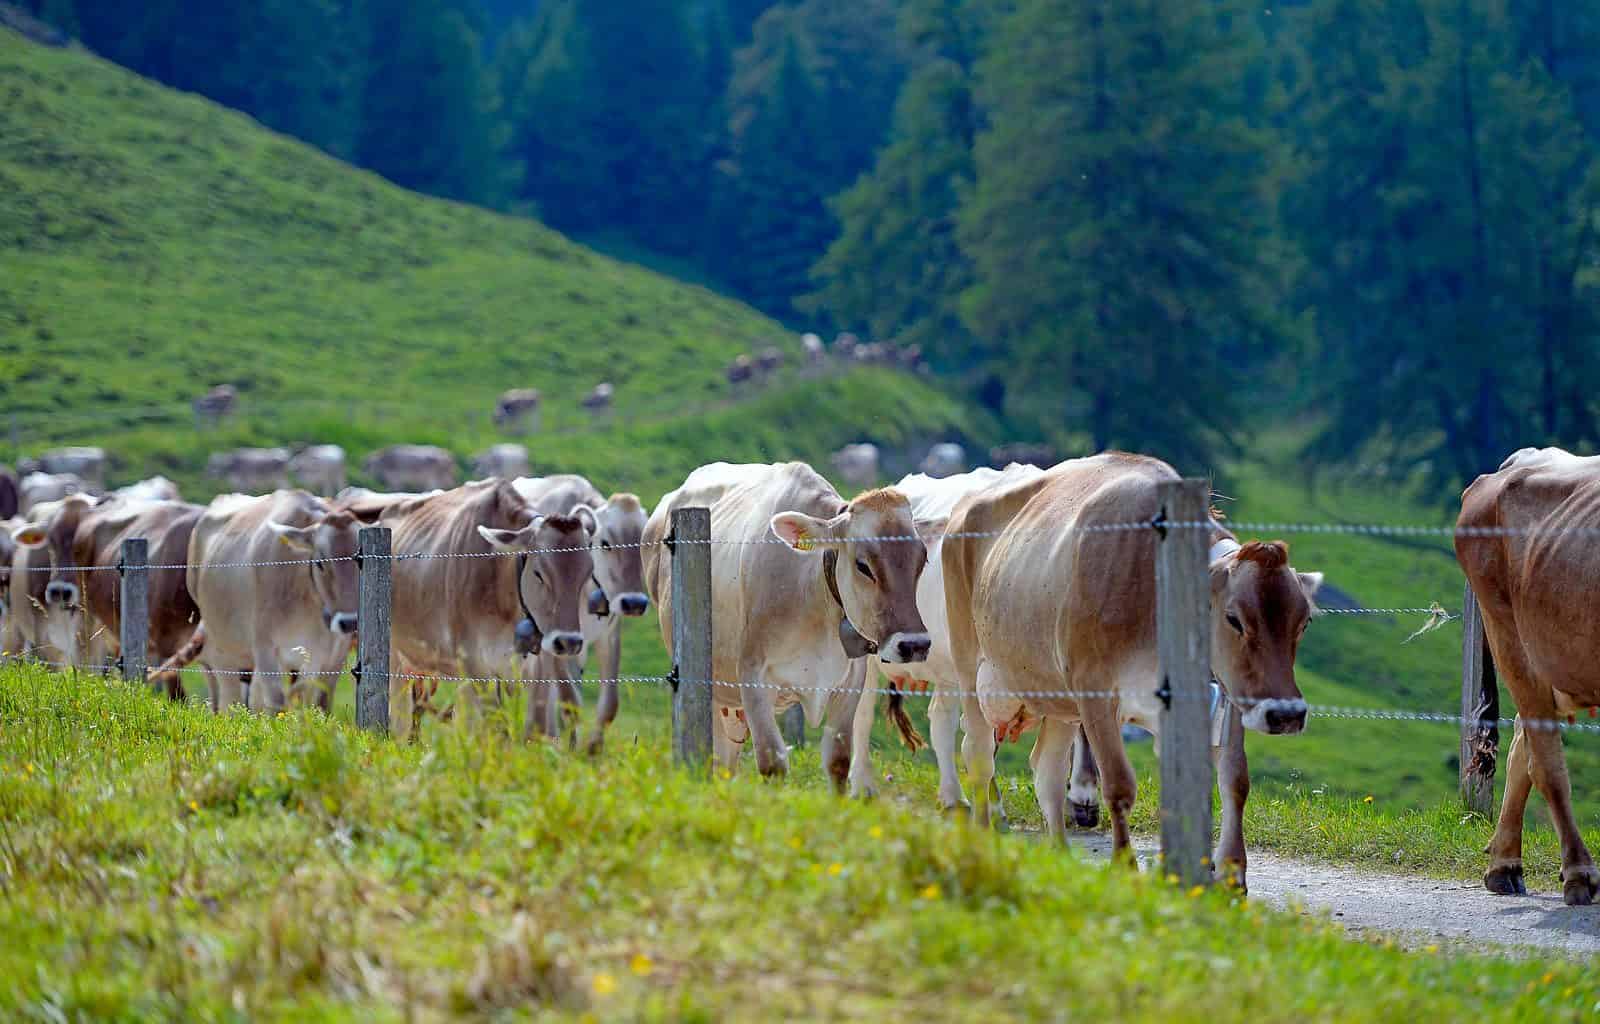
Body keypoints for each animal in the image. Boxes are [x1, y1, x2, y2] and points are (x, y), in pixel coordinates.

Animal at [187, 491, 378, 713]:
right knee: (226, 696)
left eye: (360, 561)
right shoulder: (264, 648)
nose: (350, 622)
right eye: (320, 562)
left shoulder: (317, 656)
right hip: (221, 647)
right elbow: (276, 702)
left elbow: (303, 701)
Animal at [343, 479, 595, 743]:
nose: (568, 642)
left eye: (587, 573)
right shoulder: (475, 663)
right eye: (539, 573)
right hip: (395, 657)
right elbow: (496, 728)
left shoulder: (529, 670)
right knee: (400, 715)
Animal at [513, 476, 650, 753]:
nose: (634, 602)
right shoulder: (555, 637)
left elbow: (609, 703)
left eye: (641, 543)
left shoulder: (607, 634)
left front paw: (592, 749)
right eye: (606, 543)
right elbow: (569, 700)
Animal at [642, 462, 932, 786]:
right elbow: (773, 763)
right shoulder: (753, 676)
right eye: (863, 565)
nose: (914, 644)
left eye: (922, 559)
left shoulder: (850, 682)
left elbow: (838, 761)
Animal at [942, 452, 1321, 890]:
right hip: (970, 668)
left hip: (1057, 699)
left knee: (1046, 770)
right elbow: (1119, 785)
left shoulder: (1227, 699)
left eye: (1304, 620)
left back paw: (1060, 859)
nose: (1286, 714)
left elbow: (1234, 781)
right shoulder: (1095, 693)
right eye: (1234, 619)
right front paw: (1126, 869)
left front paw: (1228, 874)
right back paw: (981, 836)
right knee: (978, 755)